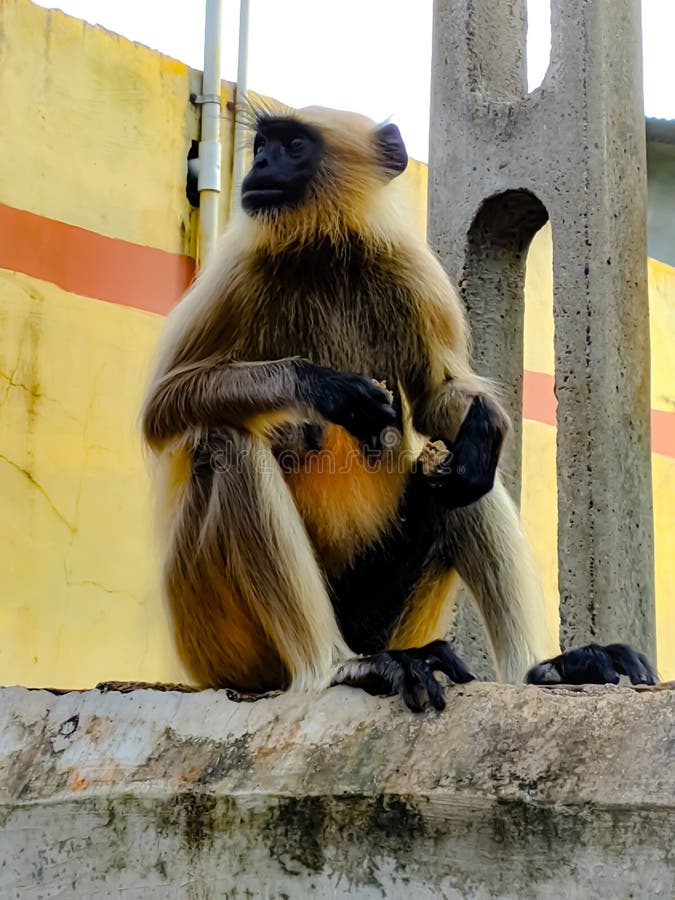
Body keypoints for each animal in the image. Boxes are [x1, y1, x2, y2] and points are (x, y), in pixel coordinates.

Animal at [140, 102, 657, 711]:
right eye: (263, 145)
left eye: (293, 146)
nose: (260, 164)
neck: (326, 248)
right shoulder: (236, 271)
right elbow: (161, 410)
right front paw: (326, 388)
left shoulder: (412, 271)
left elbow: (439, 403)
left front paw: (484, 426)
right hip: (222, 649)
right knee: (223, 439)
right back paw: (338, 667)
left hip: (388, 617)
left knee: (459, 475)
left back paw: (541, 669)